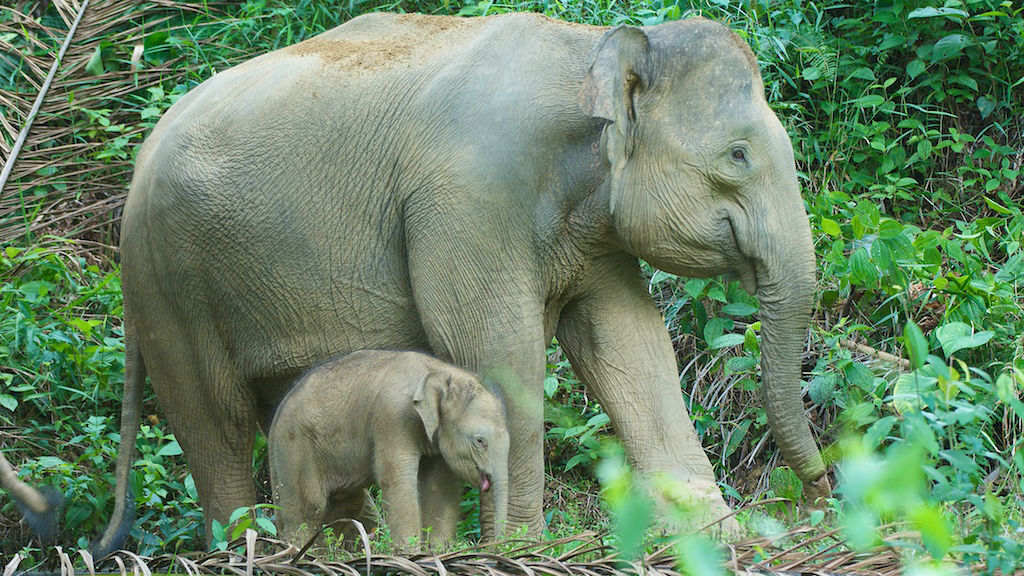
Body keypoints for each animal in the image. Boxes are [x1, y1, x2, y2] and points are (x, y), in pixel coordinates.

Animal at [269, 350, 509, 550]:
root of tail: (278, 411)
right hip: (295, 446)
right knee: (308, 506)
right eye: (480, 440)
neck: (440, 371)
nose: (498, 546)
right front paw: (409, 554)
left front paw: (438, 552)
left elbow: (439, 487)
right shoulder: (392, 417)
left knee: (346, 503)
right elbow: (397, 479)